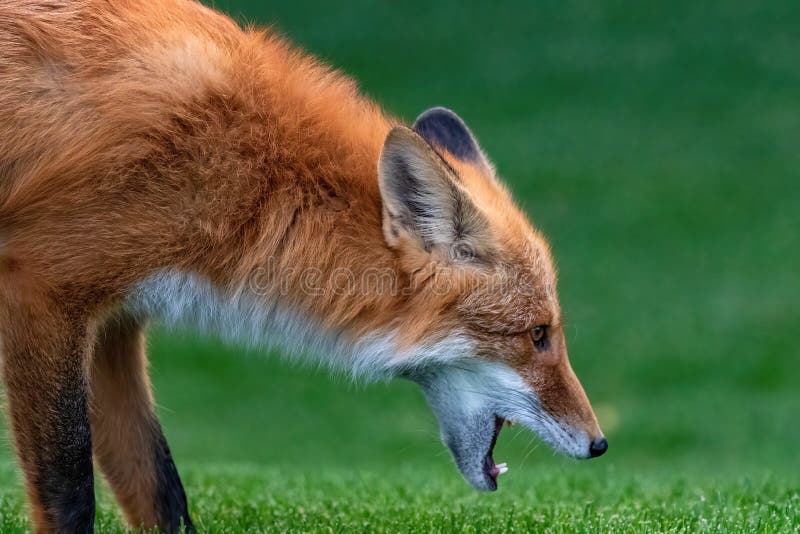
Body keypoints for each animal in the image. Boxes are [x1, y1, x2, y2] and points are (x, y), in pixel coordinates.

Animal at [0, 0, 607, 532]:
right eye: (538, 334)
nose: (599, 443)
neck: (246, 167)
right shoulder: (43, 288)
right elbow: (70, 492)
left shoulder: (115, 322)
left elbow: (158, 487)